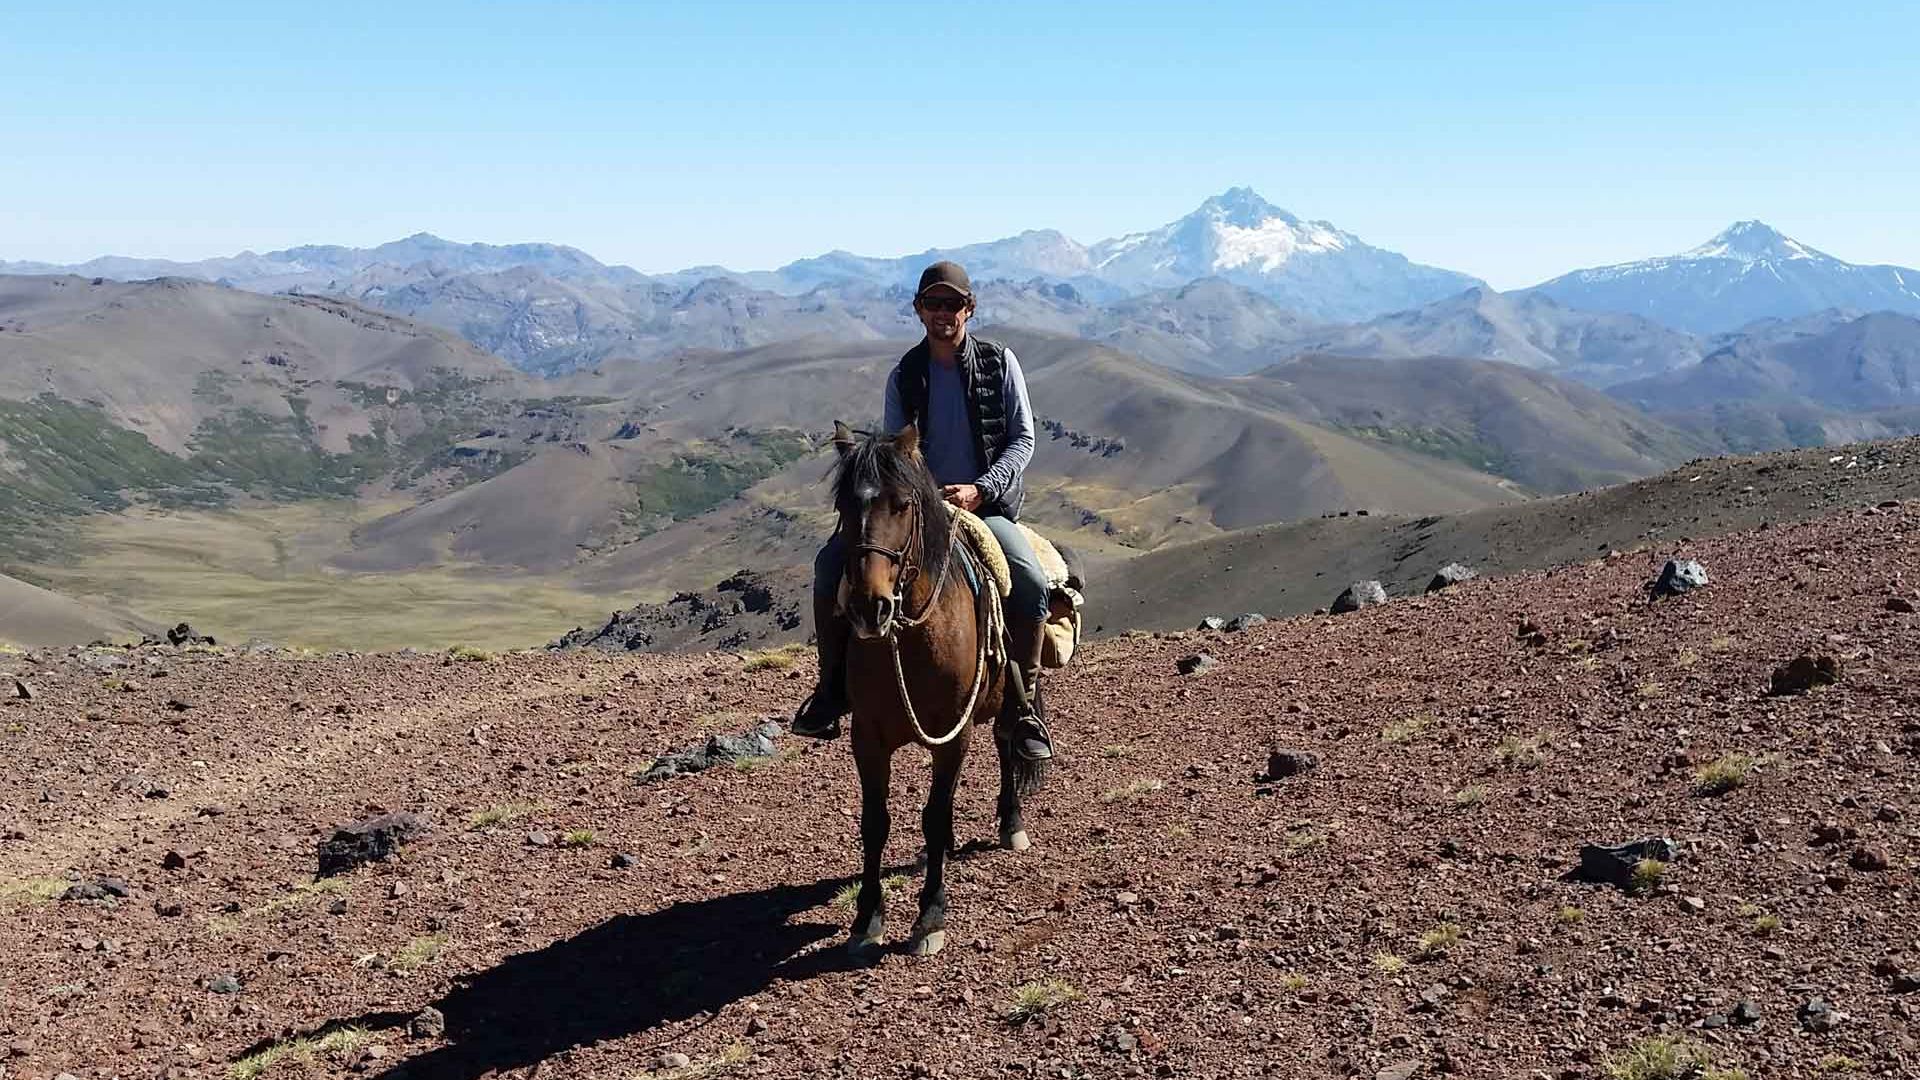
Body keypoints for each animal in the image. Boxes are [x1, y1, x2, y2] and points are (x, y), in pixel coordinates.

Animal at [825, 417, 1044, 953]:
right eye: (844, 507)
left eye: (902, 504)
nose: (869, 607)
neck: (913, 636)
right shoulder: (867, 736)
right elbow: (875, 822)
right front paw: (867, 917)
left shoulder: (953, 734)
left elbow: (934, 814)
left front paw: (930, 916)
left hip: (1009, 698)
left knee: (1008, 743)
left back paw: (1011, 823)